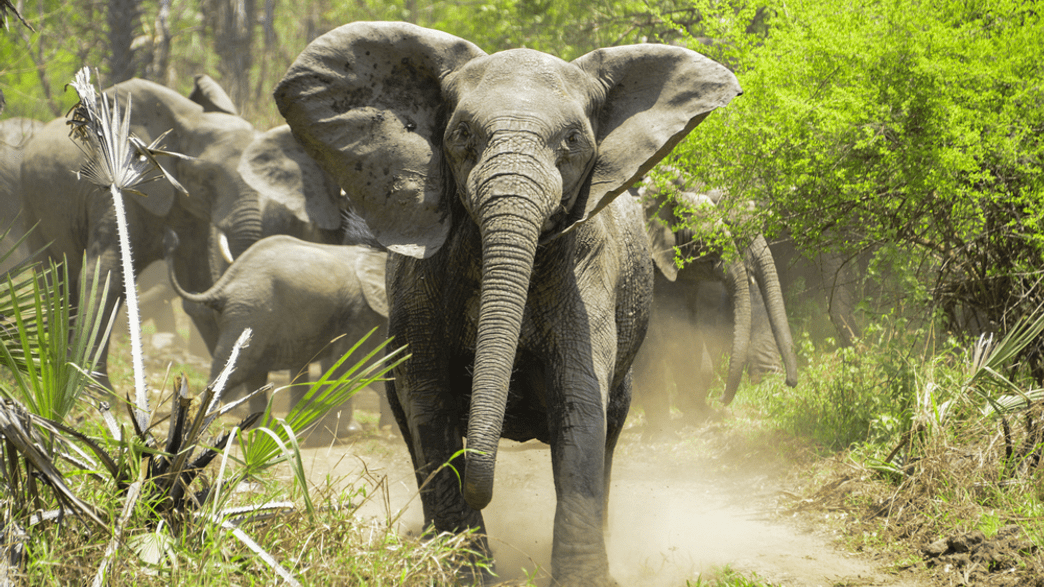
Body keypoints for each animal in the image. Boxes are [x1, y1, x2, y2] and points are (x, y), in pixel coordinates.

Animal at [17, 76, 344, 390]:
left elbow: (199, 285)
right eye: (208, 177)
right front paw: (94, 391)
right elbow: (104, 277)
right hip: (31, 205)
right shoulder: (113, 194)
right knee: (54, 278)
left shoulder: (193, 217)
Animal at [164, 230, 392, 438]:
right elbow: (351, 362)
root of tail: (226, 282)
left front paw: (389, 430)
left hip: (252, 314)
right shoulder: (360, 309)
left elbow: (378, 363)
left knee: (253, 373)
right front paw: (345, 430)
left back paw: (267, 428)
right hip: (252, 310)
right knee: (238, 370)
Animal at [274, 21, 741, 585]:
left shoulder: (586, 272)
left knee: (611, 424)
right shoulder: (420, 283)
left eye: (573, 140)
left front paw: (582, 579)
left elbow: (580, 397)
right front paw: (463, 570)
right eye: (461, 136)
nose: (484, 486)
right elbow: (428, 401)